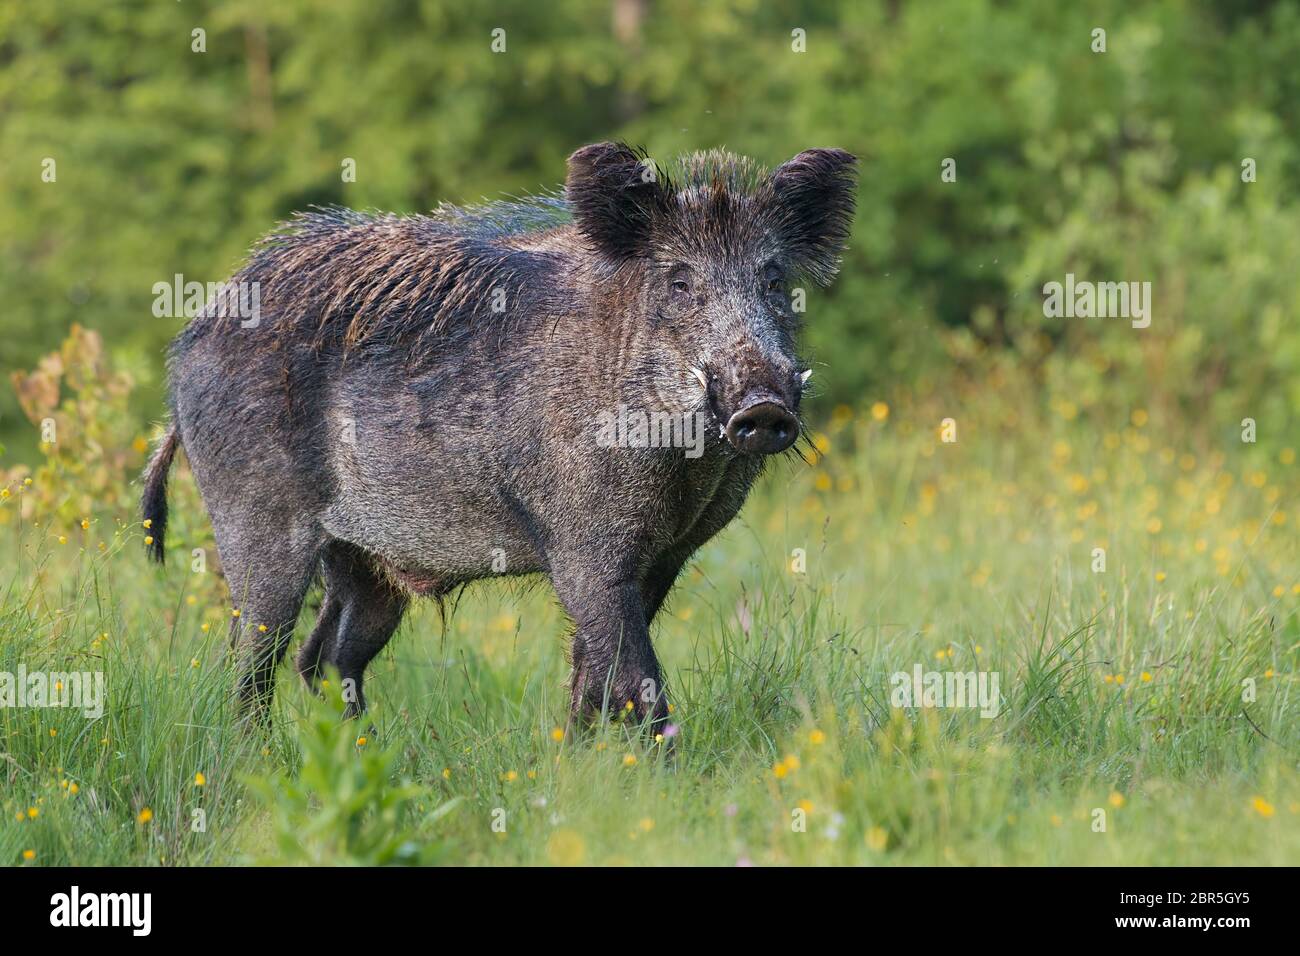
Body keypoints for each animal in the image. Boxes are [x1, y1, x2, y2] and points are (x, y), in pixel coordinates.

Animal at [141, 142, 857, 731]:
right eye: (680, 281)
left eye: (772, 280)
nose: (763, 407)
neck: (684, 461)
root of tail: (186, 348)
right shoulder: (583, 545)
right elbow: (634, 680)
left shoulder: (666, 556)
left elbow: (591, 681)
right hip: (255, 526)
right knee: (251, 665)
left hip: (363, 562)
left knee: (329, 657)